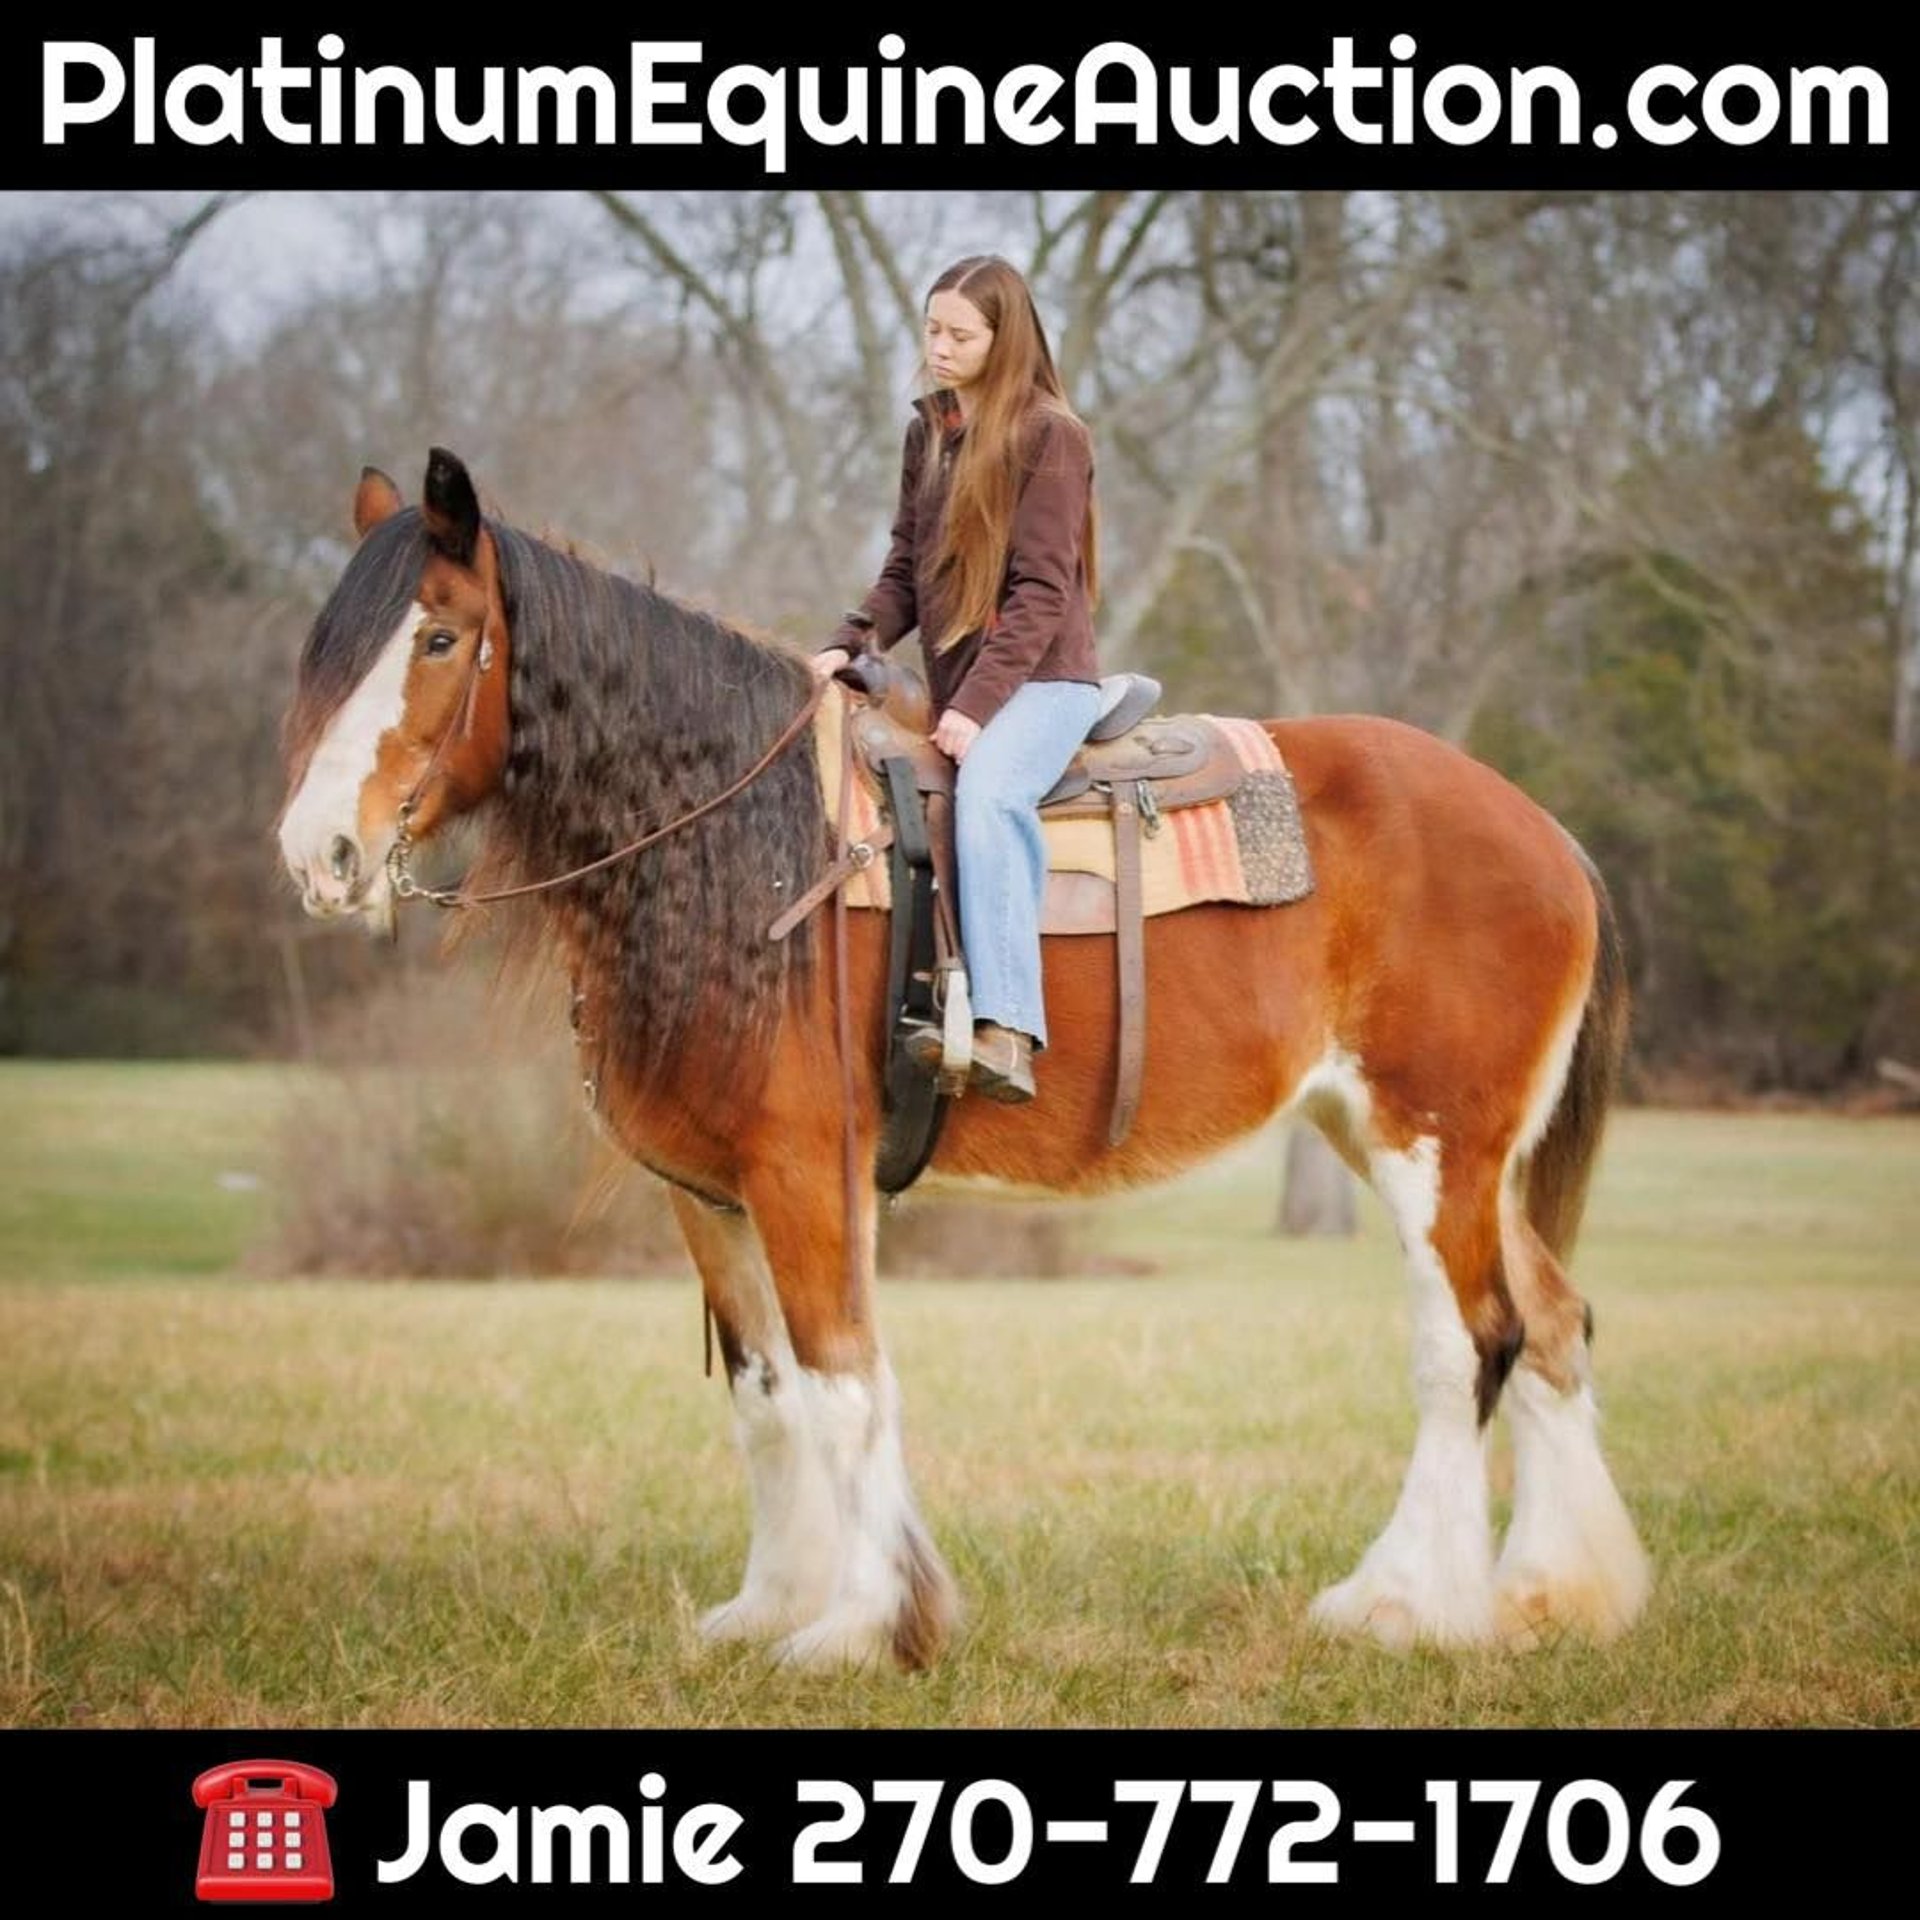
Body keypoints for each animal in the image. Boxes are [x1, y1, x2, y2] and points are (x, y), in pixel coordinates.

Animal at [273, 446, 1651, 1673]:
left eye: (439, 638)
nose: (317, 853)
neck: (748, 846)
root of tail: (1543, 832)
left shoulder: (805, 1174)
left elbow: (841, 1382)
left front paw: (863, 1626)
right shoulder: (708, 1195)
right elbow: (767, 1395)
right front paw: (774, 1606)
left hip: (1433, 1147)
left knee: (1465, 1344)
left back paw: (1406, 1603)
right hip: (1425, 1148)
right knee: (1550, 1324)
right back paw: (1550, 1593)